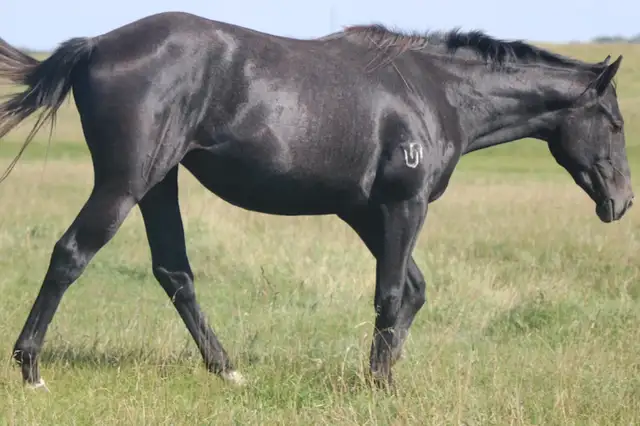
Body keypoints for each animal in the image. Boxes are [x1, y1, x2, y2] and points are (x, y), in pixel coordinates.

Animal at [0, 11, 633, 391]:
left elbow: (412, 291)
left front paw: (381, 372)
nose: (623, 203)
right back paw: (31, 368)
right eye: (617, 122)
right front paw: (382, 385)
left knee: (174, 272)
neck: (435, 92)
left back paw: (227, 369)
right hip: (125, 183)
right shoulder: (403, 206)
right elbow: (391, 294)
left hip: (159, 183)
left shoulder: (364, 211)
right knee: (71, 254)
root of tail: (97, 45)